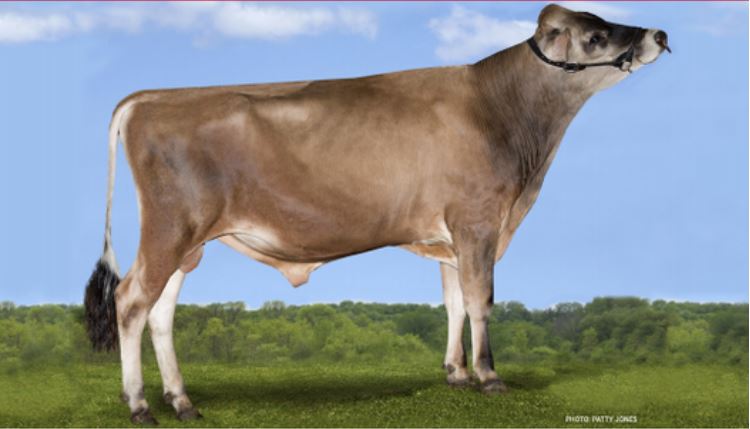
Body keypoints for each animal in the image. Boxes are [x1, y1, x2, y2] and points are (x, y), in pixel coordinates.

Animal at [84, 4, 669, 424]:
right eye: (595, 37)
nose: (659, 34)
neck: (501, 114)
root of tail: (150, 97)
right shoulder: (479, 221)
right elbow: (481, 301)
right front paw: (489, 377)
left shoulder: (450, 238)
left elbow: (454, 302)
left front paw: (455, 374)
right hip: (170, 228)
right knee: (131, 301)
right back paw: (140, 405)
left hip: (189, 242)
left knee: (160, 311)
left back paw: (181, 401)